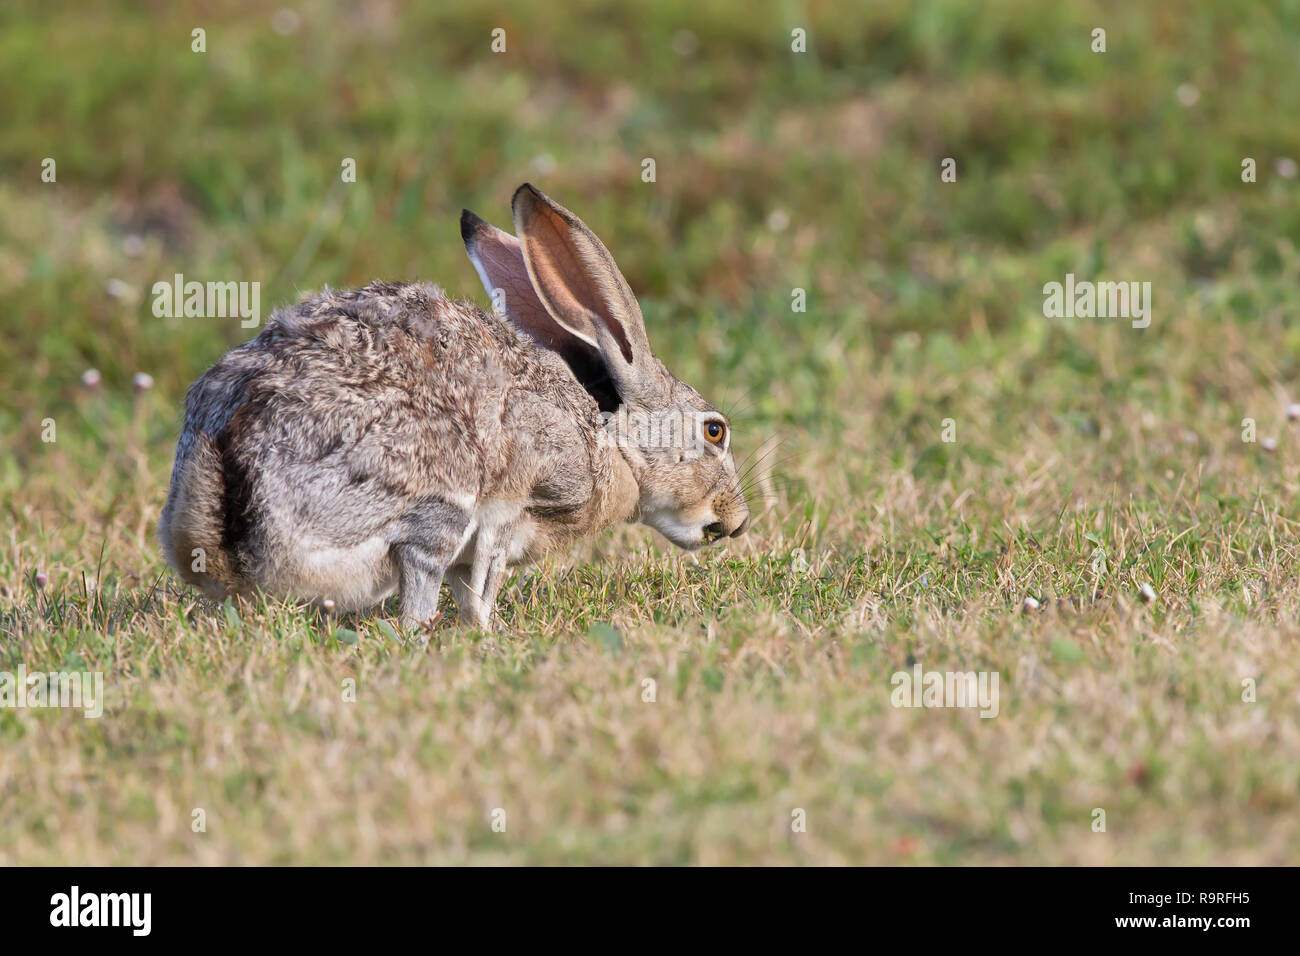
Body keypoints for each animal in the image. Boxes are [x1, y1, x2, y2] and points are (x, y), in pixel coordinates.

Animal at [158, 183, 750, 630]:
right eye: (714, 431)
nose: (737, 523)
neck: (614, 441)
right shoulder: (524, 486)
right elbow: (484, 575)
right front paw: (486, 631)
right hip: (433, 505)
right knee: (418, 584)